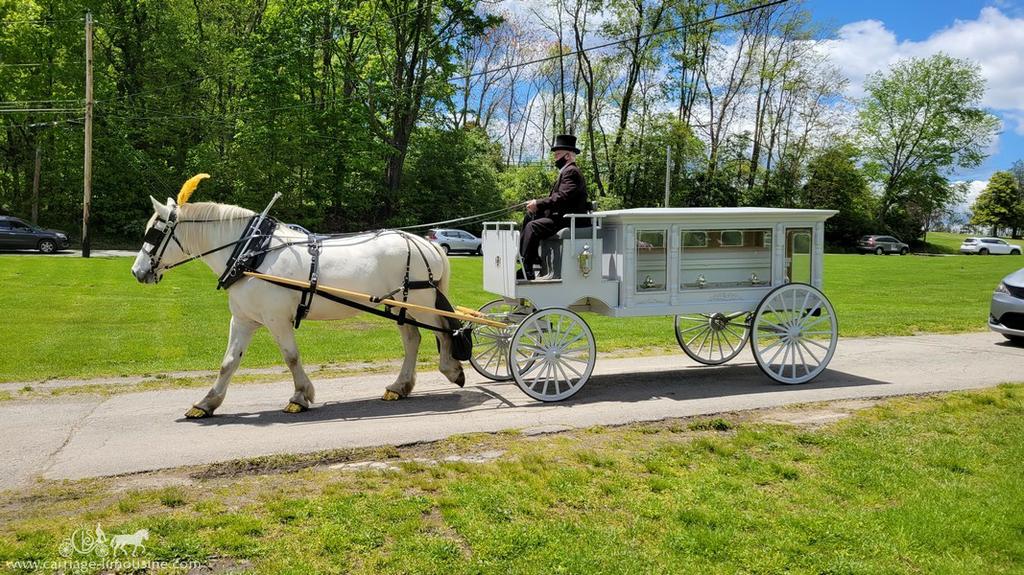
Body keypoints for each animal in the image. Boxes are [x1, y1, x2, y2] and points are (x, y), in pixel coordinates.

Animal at [130, 177, 465, 418]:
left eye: (153, 234)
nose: (137, 271)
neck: (251, 254)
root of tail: (426, 243)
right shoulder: (244, 320)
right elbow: (229, 362)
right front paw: (206, 403)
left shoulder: (277, 319)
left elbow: (291, 356)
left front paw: (300, 396)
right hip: (401, 306)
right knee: (412, 339)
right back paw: (400, 386)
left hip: (421, 303)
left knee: (444, 330)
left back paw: (451, 370)